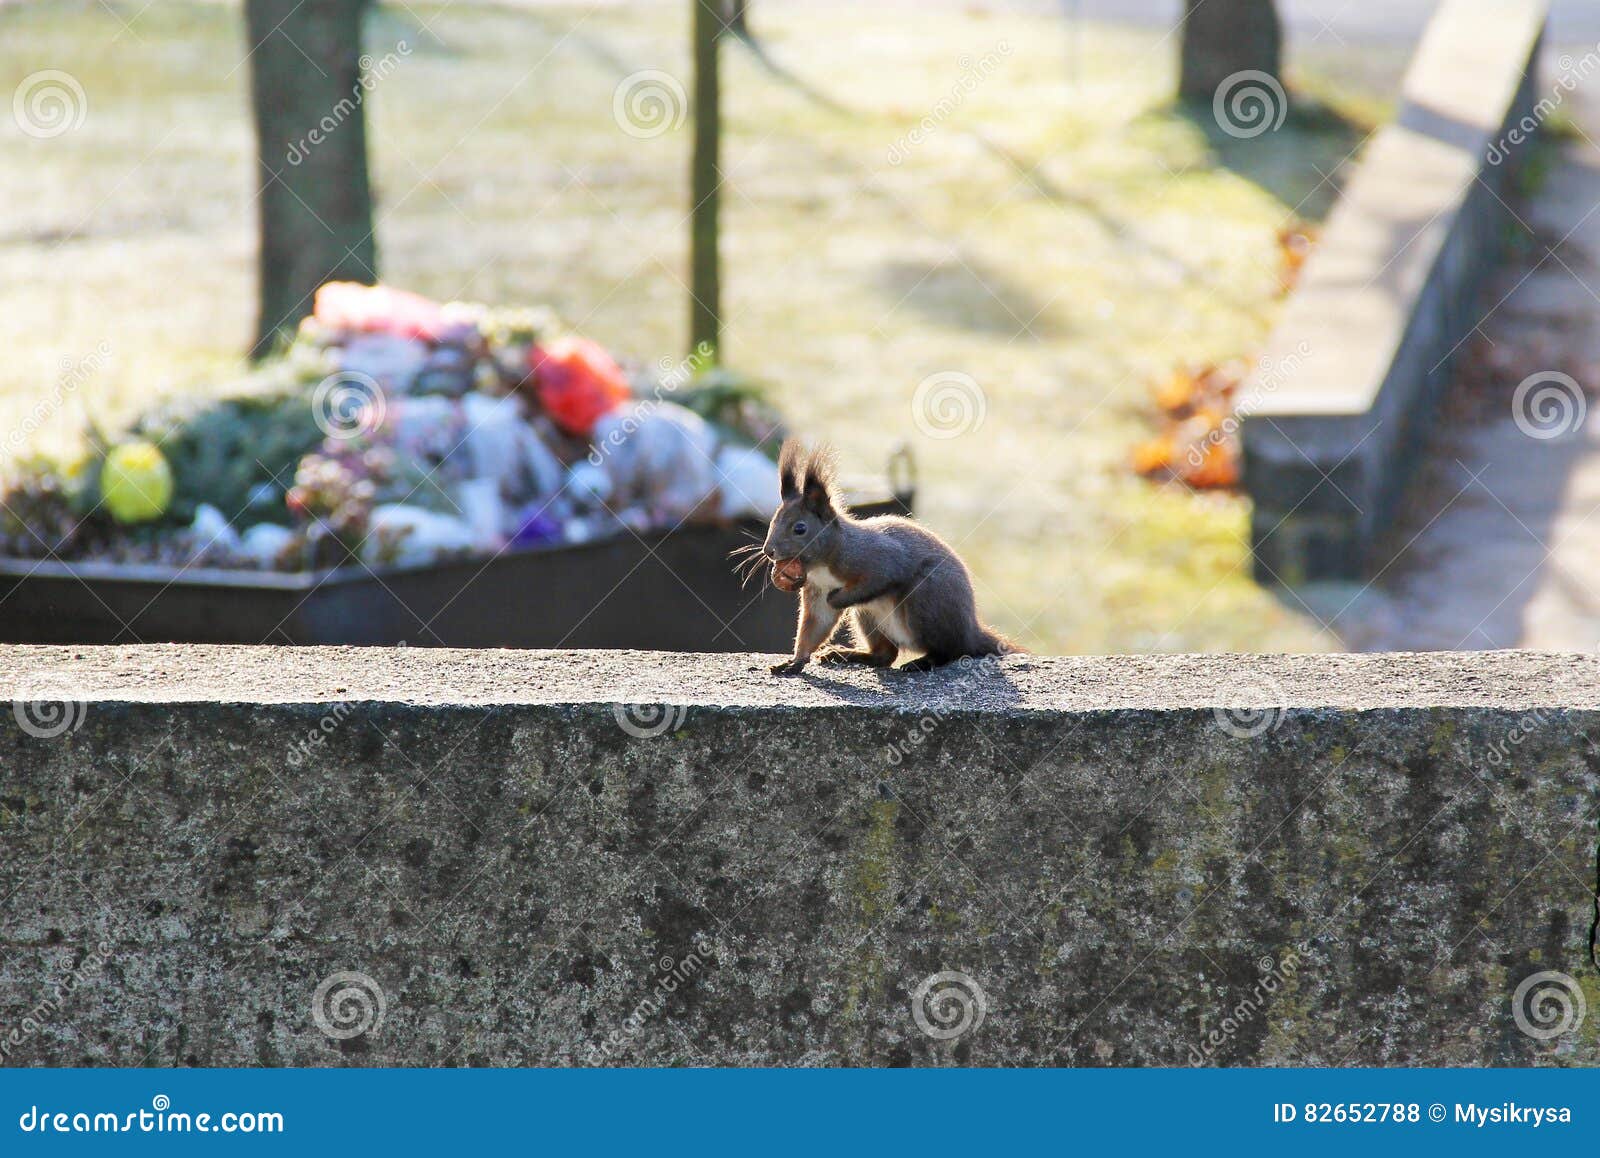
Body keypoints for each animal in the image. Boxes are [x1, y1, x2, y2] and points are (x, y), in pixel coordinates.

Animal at [746, 440, 1015, 676]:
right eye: (773, 521)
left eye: (800, 528)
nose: (768, 551)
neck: (824, 562)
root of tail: (971, 629)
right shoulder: (816, 589)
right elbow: (816, 624)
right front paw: (795, 662)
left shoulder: (878, 558)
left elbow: (878, 579)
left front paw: (837, 598)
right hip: (868, 616)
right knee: (885, 655)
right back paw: (847, 654)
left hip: (925, 598)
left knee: (951, 651)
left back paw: (923, 662)